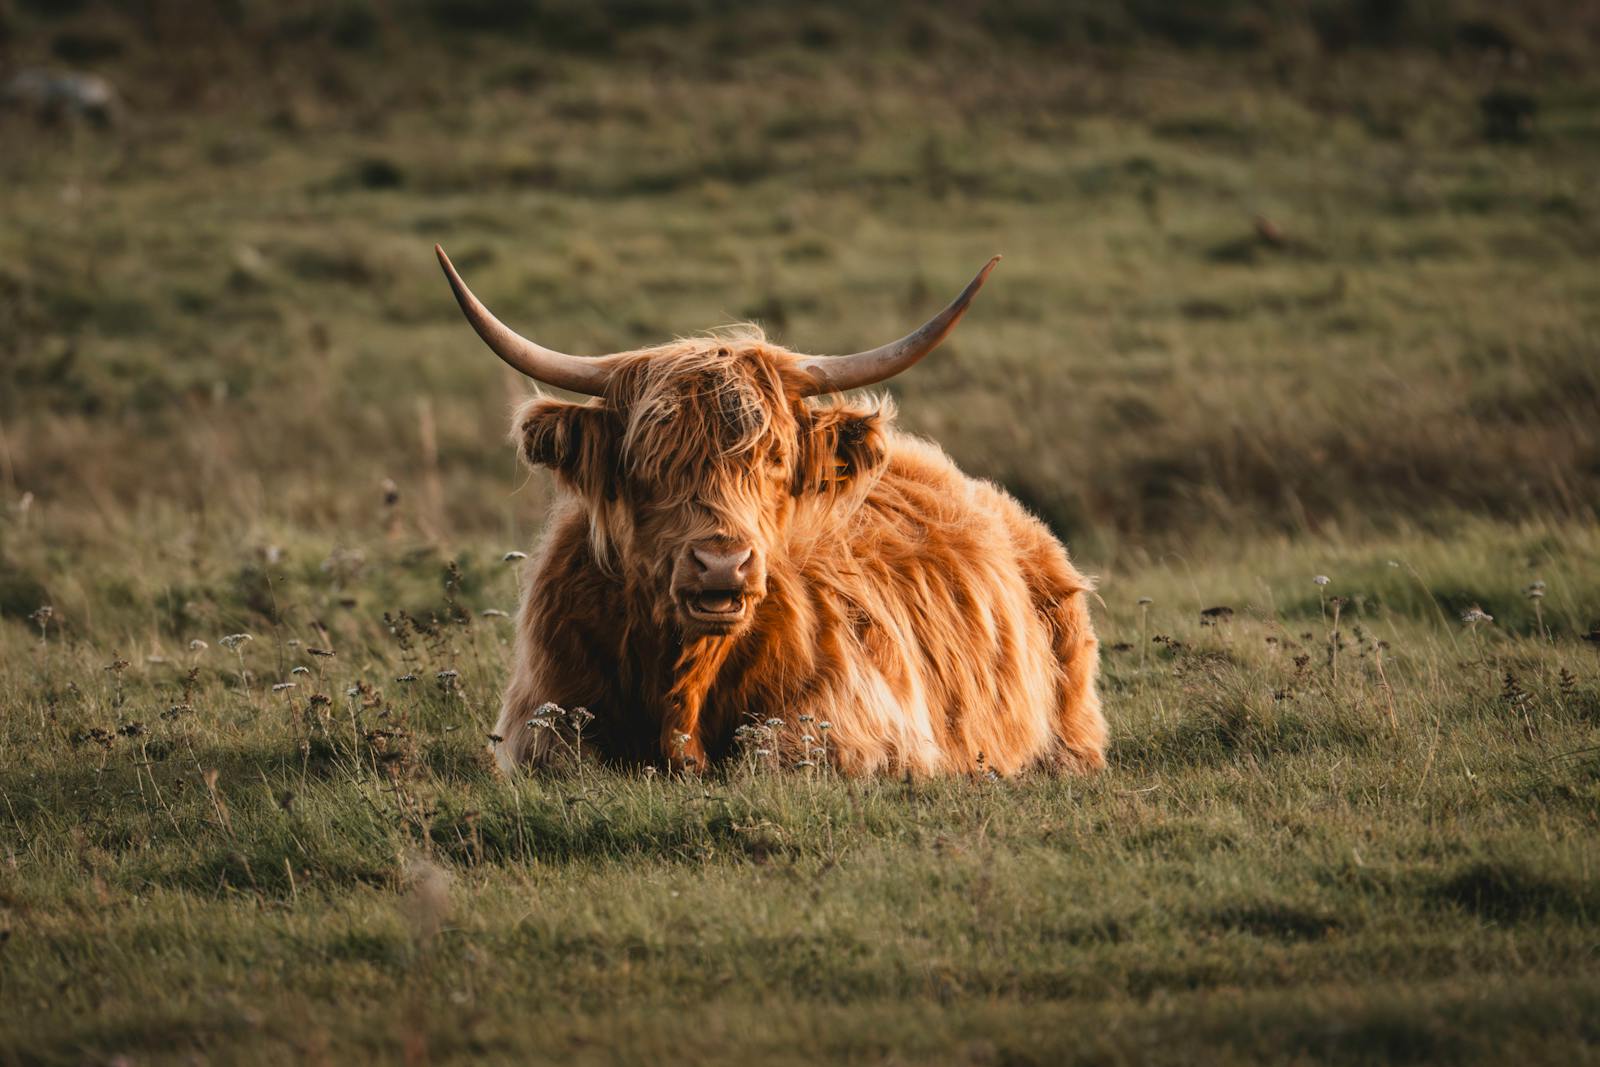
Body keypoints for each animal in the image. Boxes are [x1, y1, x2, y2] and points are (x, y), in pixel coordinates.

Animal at [436, 245, 1106, 776]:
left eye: (776, 459)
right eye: (645, 461)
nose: (721, 565)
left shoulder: (861, 716)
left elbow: (776, 752)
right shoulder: (537, 715)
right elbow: (567, 753)